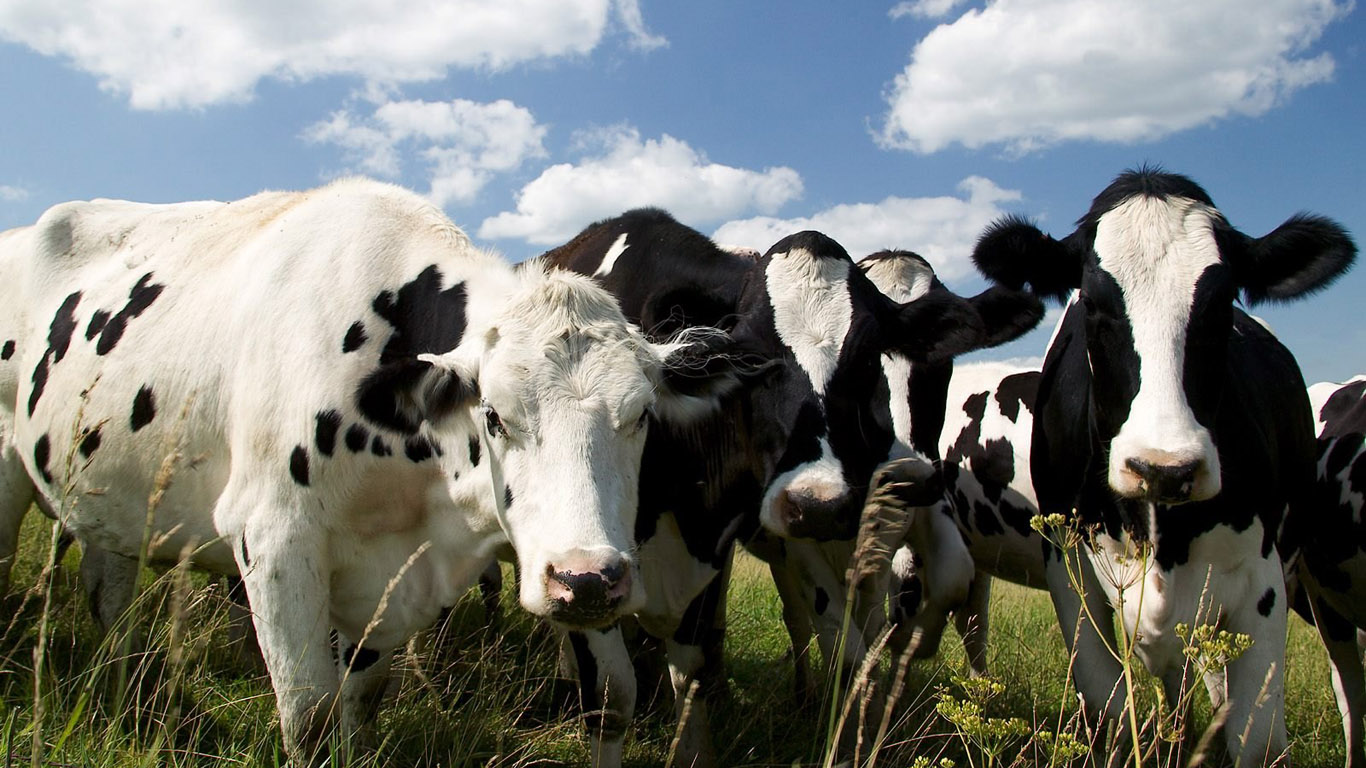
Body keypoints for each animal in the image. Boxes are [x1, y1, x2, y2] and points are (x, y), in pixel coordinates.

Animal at [0, 179, 752, 762]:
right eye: (495, 416)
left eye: (641, 415)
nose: (587, 579)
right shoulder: (273, 538)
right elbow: (310, 720)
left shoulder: (394, 579)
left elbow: (361, 701)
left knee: (107, 590)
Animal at [971, 167, 1356, 765]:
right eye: (1093, 304)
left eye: (1222, 304)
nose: (1164, 468)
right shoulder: (1070, 572)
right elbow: (1107, 711)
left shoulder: (1262, 581)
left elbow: (1257, 737)